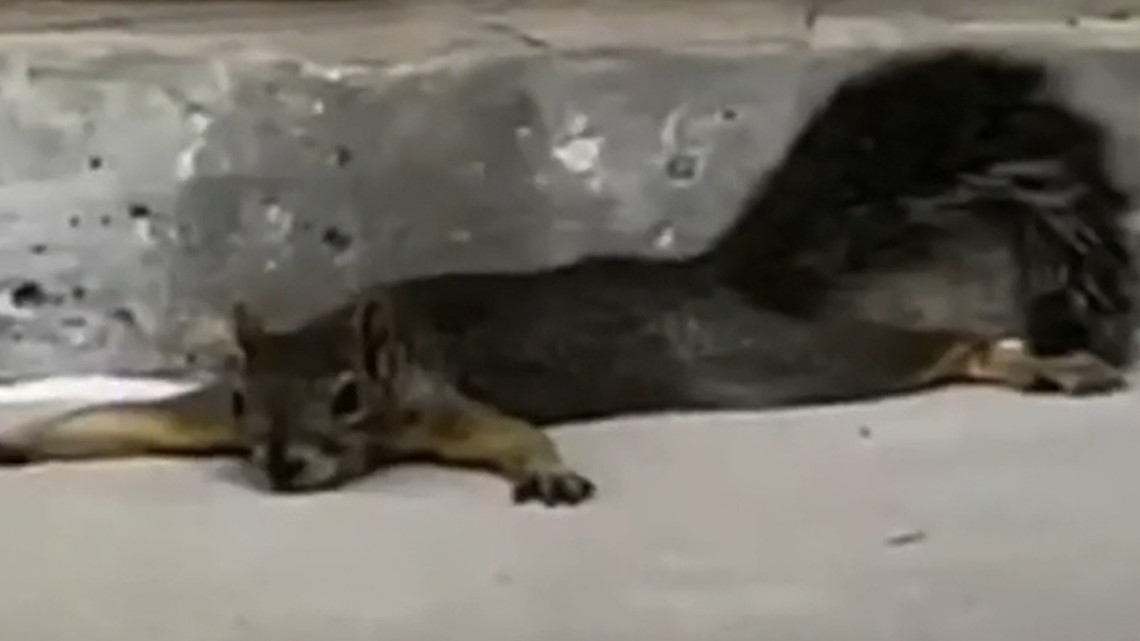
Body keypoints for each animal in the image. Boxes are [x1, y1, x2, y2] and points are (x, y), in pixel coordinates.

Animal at [1, 48, 1134, 507]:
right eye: (244, 399)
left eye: (350, 393)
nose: (279, 465)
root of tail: (729, 278)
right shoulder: (197, 419)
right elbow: (113, 423)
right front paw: (26, 439)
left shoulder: (444, 403)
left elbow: (510, 434)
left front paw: (546, 469)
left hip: (783, 360)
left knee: (941, 348)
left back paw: (1040, 365)